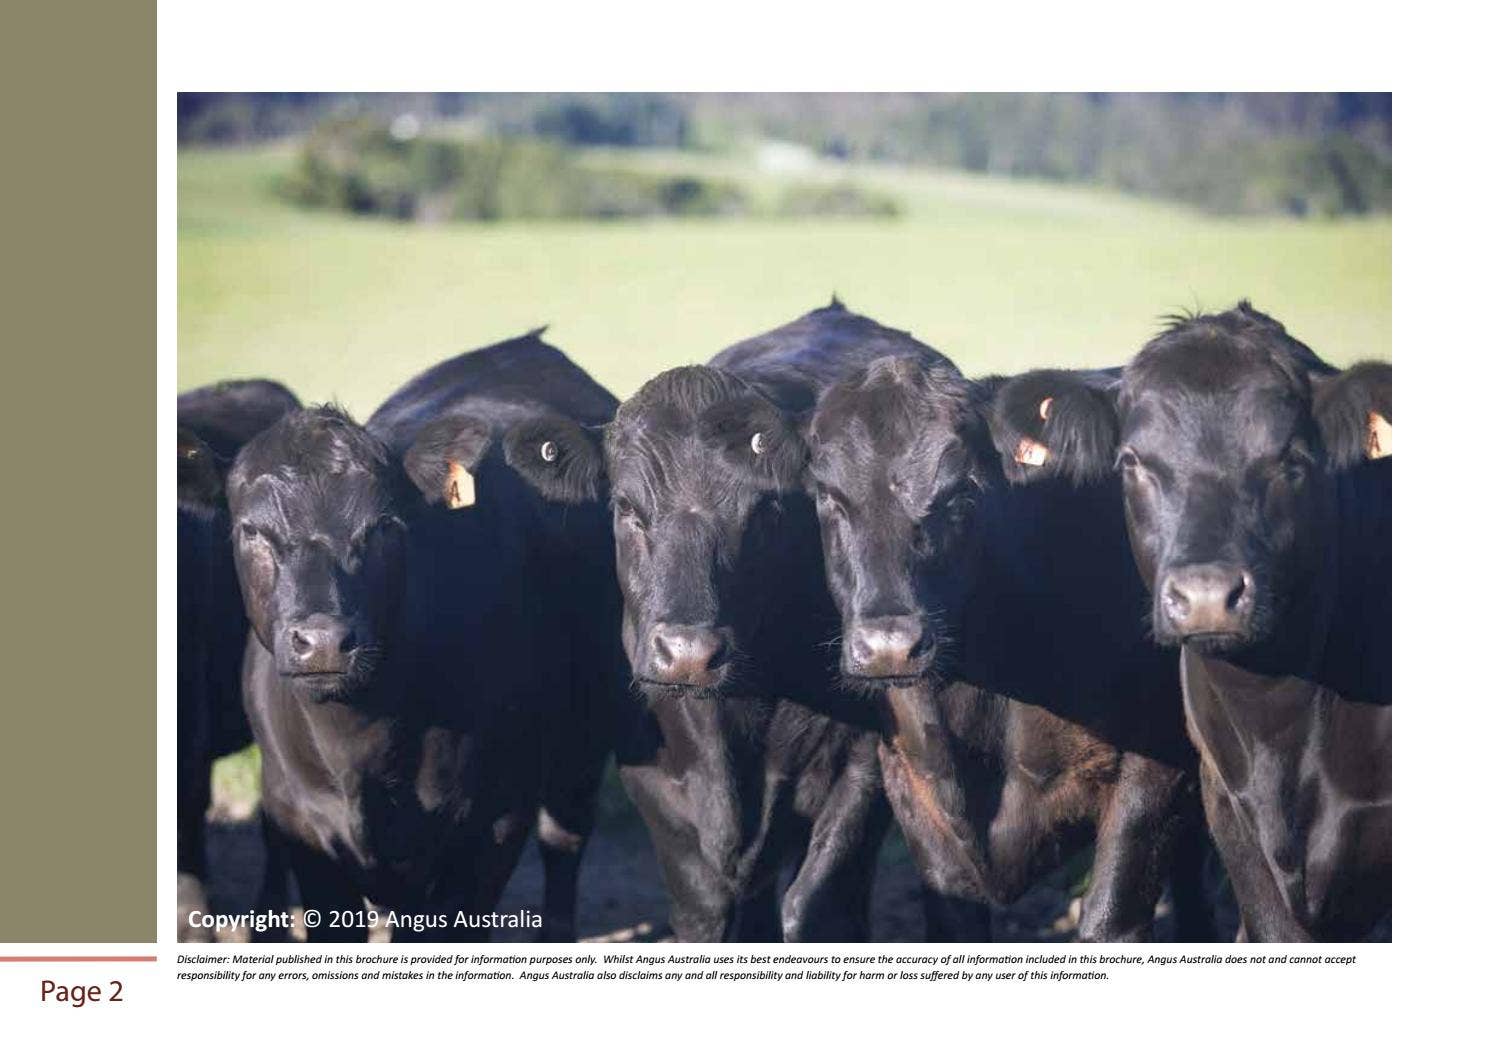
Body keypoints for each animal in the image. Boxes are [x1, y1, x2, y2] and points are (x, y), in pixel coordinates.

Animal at [229, 332, 620, 941]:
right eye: (252, 530)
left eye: (384, 526)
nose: (323, 641)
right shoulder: (298, 821)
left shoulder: (494, 820)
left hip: (585, 732)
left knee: (565, 841)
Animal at [799, 301, 1215, 941]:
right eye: (828, 495)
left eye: (960, 493)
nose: (889, 645)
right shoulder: (914, 787)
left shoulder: (1157, 770)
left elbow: (1110, 917)